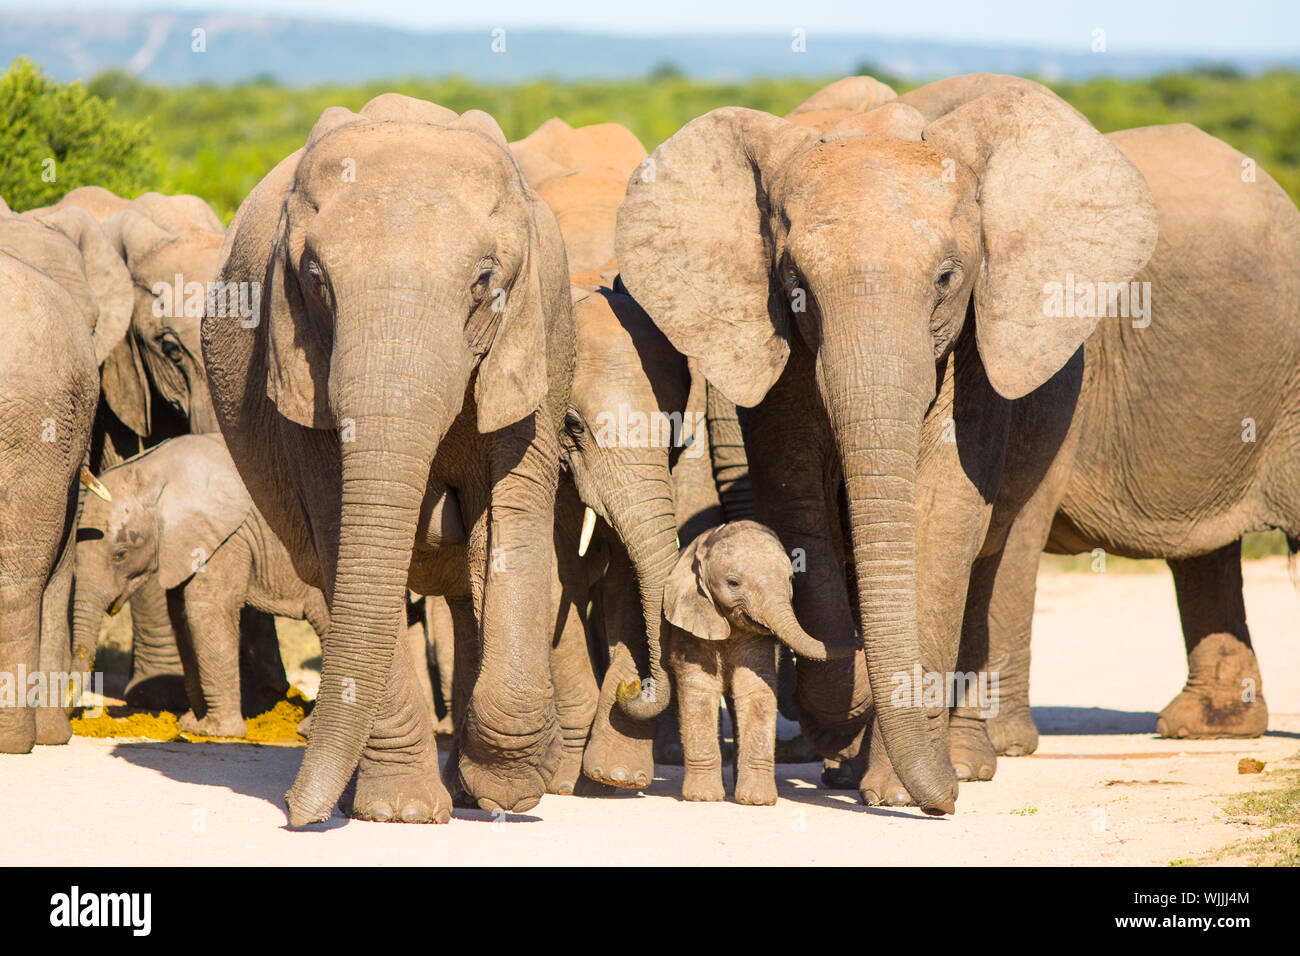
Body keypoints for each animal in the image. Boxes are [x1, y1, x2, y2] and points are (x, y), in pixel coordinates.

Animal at [73, 434, 319, 738]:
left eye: (121, 554)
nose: (77, 715)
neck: (157, 469)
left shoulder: (229, 537)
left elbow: (205, 610)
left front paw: (217, 731)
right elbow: (180, 615)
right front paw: (191, 724)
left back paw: (306, 729)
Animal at [203, 93, 575, 824]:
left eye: (483, 282)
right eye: (315, 279)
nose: (293, 811)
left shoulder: (529, 343)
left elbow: (510, 530)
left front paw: (511, 788)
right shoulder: (300, 370)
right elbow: (343, 535)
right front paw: (402, 811)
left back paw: (470, 788)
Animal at [664, 521, 852, 804]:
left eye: (789, 579)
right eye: (733, 583)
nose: (859, 639)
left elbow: (754, 691)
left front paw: (756, 800)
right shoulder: (691, 620)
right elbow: (700, 690)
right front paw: (703, 797)